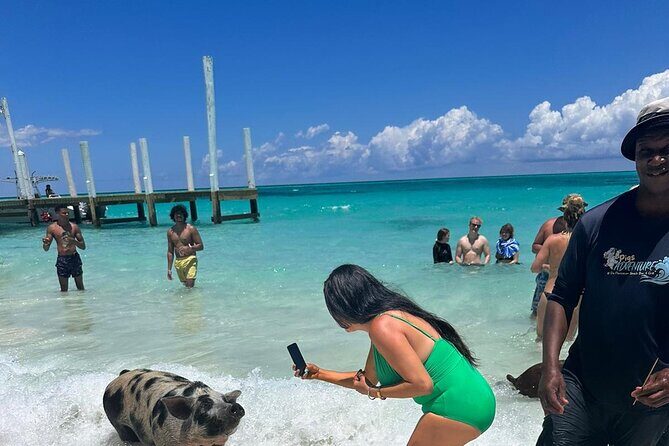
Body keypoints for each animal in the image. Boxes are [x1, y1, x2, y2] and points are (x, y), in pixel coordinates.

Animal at [103, 369, 244, 446]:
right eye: (206, 404)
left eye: (225, 400)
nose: (236, 406)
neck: (201, 442)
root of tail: (121, 375)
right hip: (118, 424)